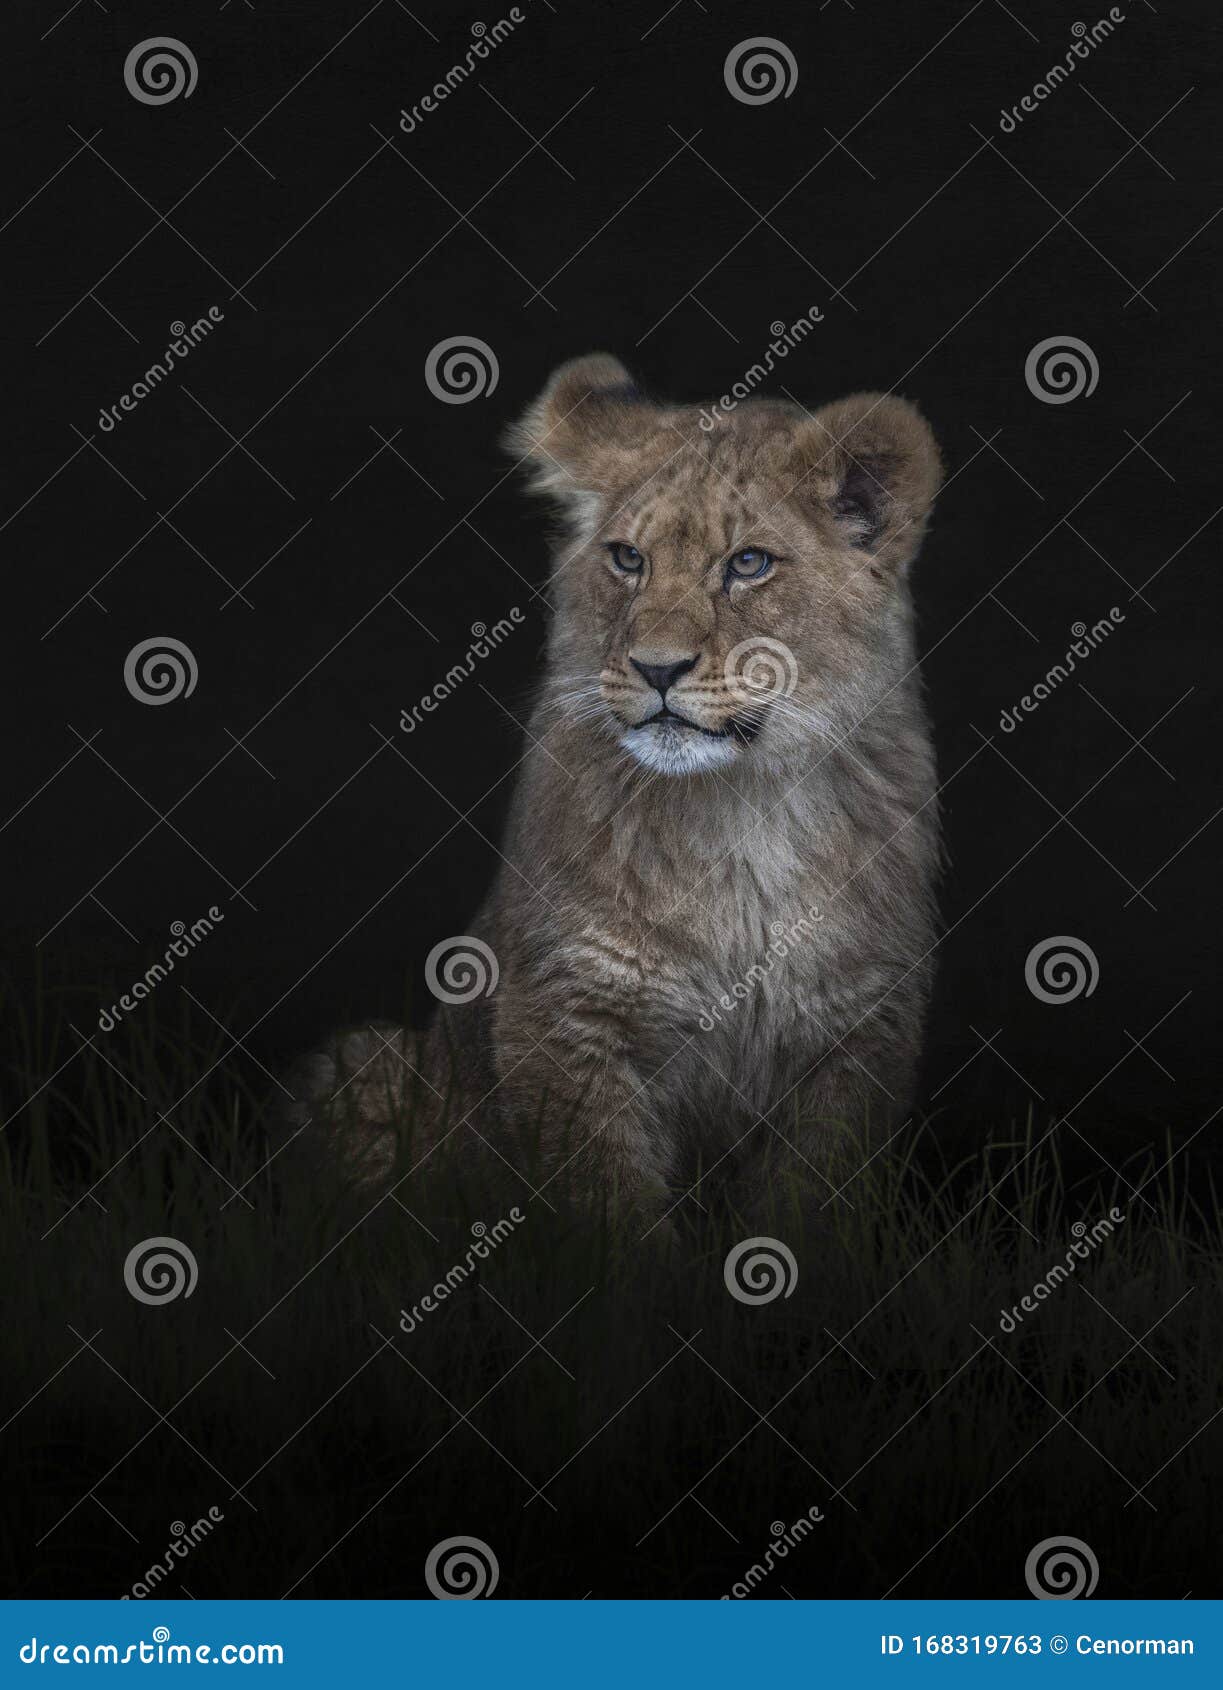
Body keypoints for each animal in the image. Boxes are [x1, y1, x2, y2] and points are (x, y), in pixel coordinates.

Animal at [288, 353, 944, 1233]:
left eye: (748, 564)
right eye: (628, 560)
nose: (656, 668)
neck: (738, 812)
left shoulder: (860, 1028)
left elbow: (808, 1204)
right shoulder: (567, 1018)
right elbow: (609, 1212)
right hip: (369, 1068)